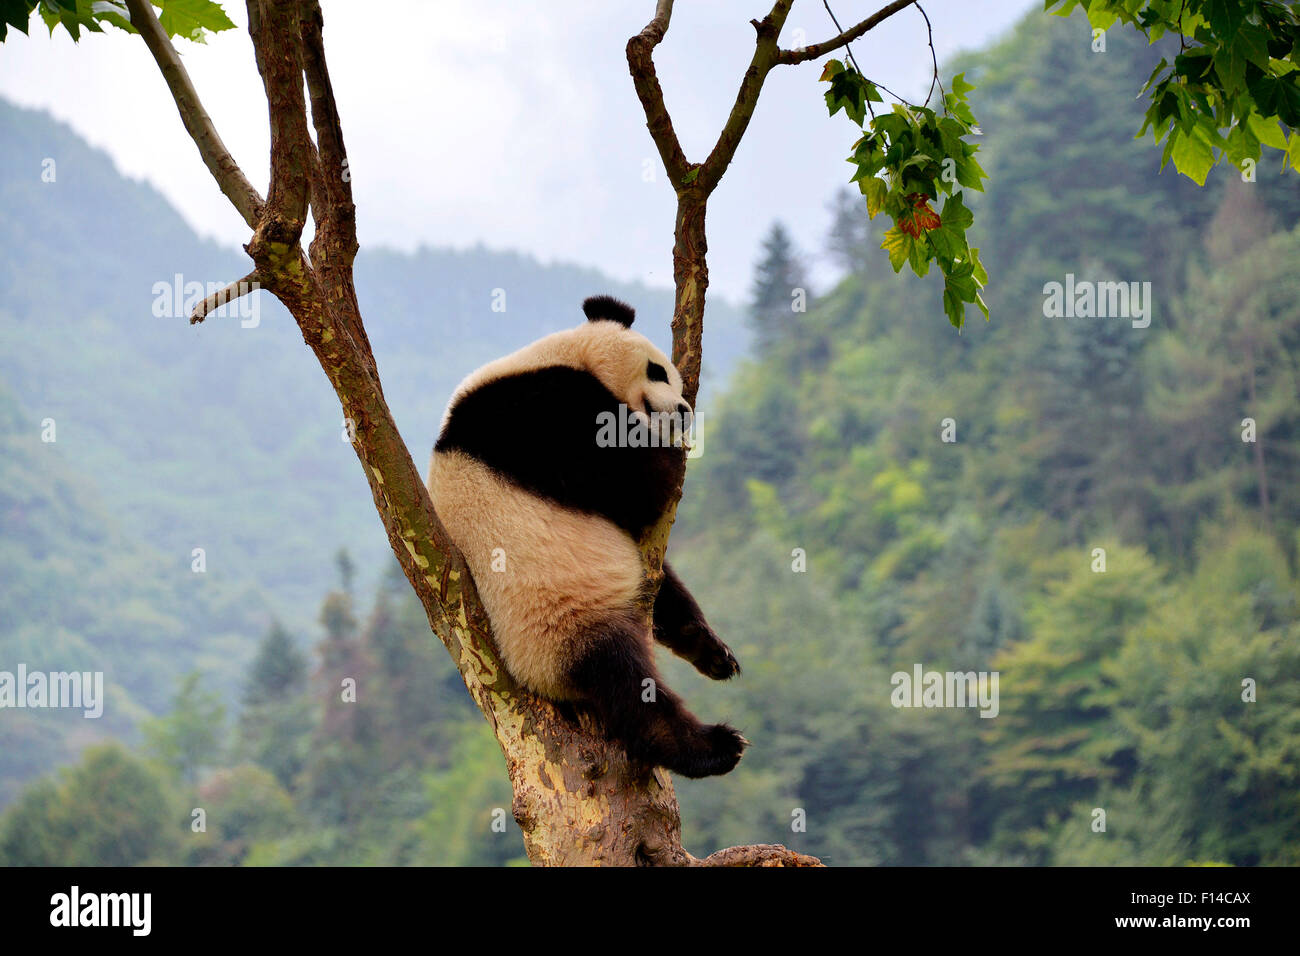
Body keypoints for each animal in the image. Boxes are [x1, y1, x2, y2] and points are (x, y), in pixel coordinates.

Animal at [427, 294, 746, 778]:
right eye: (657, 371)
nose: (683, 412)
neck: (561, 354)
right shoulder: (542, 408)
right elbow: (626, 480)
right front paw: (668, 456)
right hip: (560, 620)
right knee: (625, 682)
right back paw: (711, 745)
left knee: (663, 592)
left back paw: (710, 651)